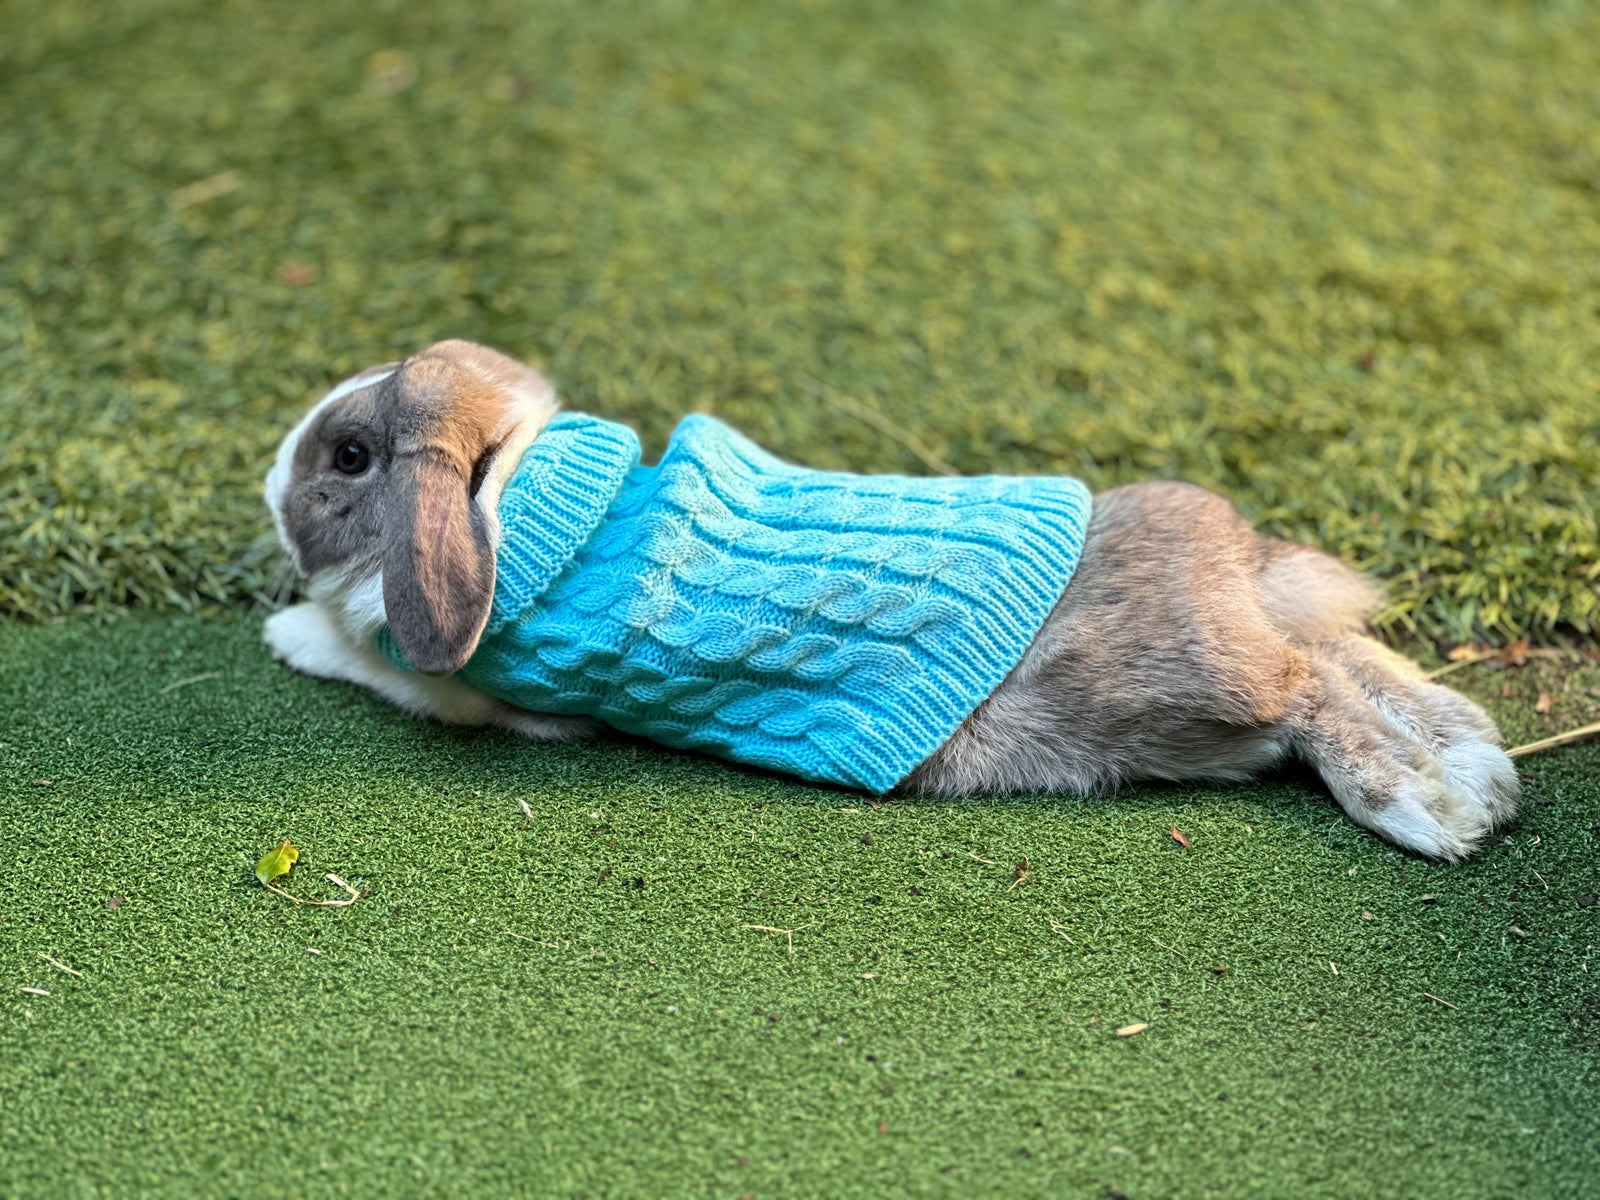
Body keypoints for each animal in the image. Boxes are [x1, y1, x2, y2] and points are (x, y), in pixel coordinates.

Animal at [263, 339, 1519, 861]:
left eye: (351, 458)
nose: (268, 484)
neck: (513, 490)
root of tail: (1228, 554)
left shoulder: (499, 698)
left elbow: (375, 663)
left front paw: (287, 632)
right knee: (1345, 652)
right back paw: (1477, 764)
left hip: (1185, 688)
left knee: (1308, 687)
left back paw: (1430, 810)